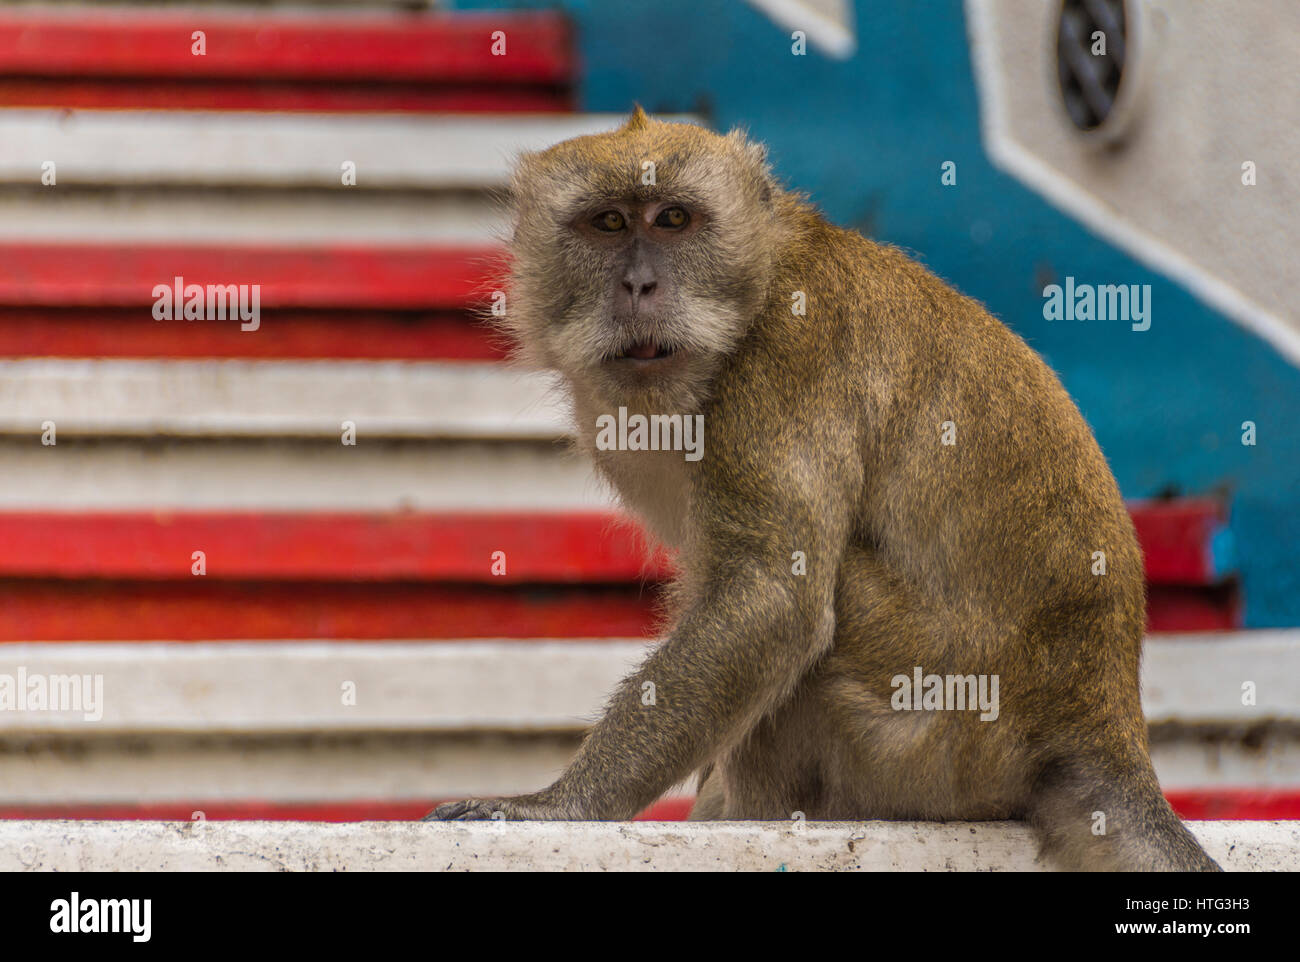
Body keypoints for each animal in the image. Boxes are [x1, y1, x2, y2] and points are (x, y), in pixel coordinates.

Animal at [427, 107, 1220, 872]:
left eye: (675, 219)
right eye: (610, 224)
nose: (640, 286)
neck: (758, 285)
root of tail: (1100, 727)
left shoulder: (786, 358)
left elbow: (771, 599)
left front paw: (562, 806)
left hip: (929, 735)